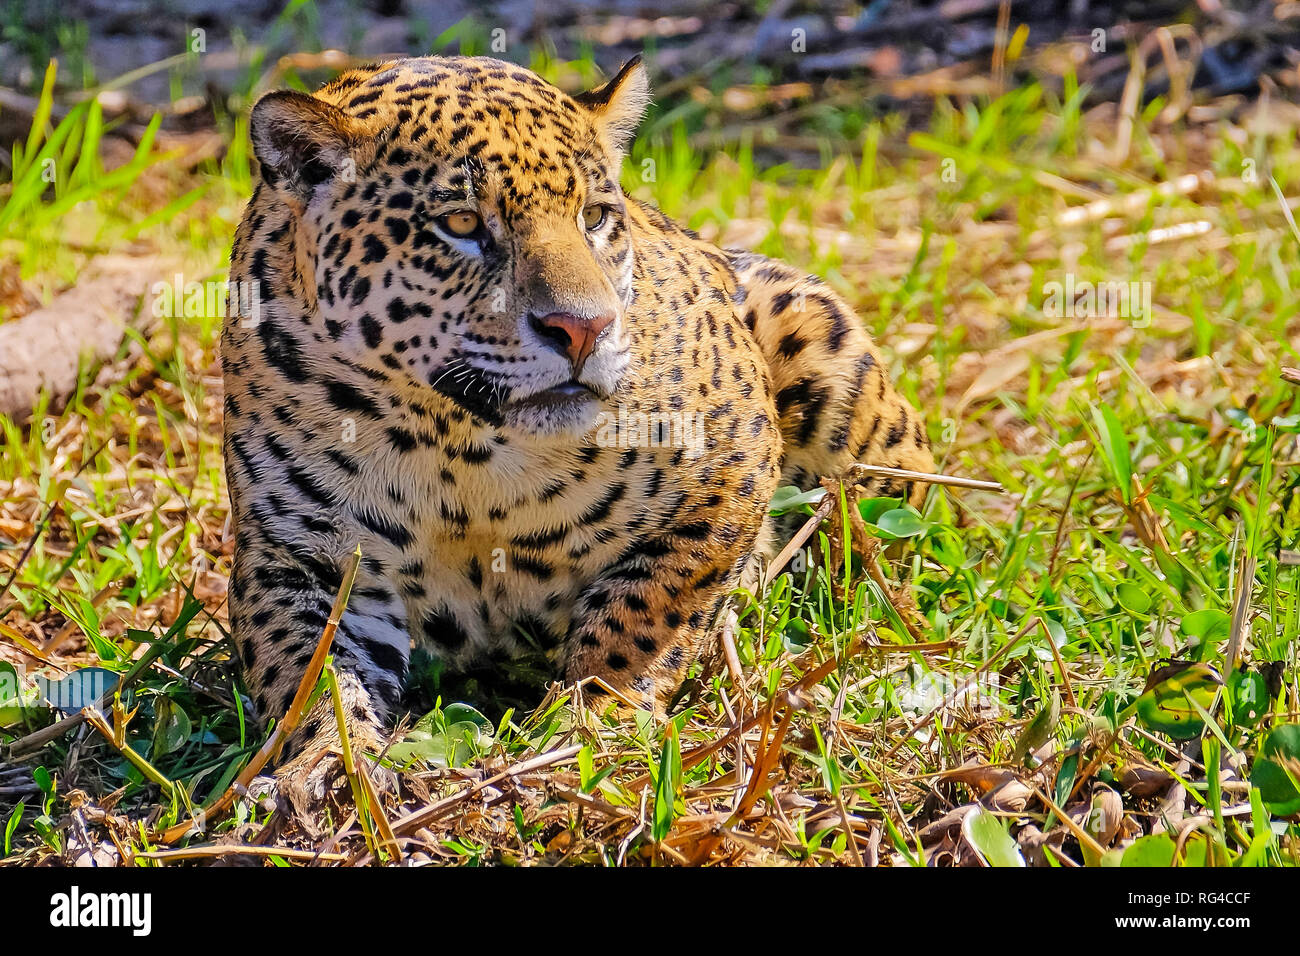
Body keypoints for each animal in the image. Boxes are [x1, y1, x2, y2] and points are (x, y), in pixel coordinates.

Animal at [222, 54, 934, 809]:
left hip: (817, 343)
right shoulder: (300, 555)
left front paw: (591, 726)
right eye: (461, 222)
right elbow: (311, 672)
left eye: (594, 216)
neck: (458, 446)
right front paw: (323, 766)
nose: (584, 327)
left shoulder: (729, 469)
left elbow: (645, 611)